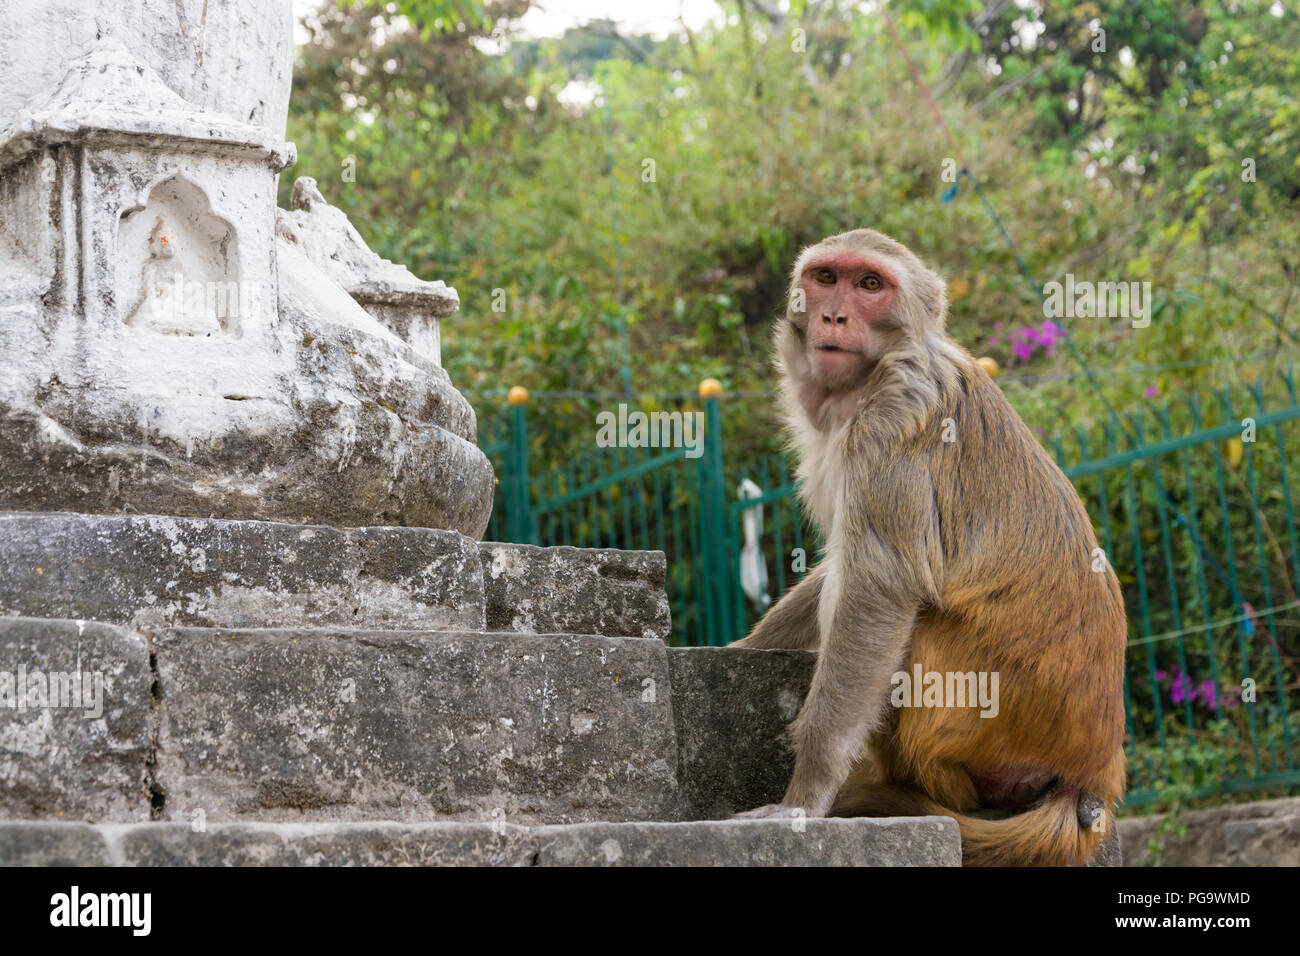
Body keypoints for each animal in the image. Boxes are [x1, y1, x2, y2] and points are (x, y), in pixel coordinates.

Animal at [731, 228, 1126, 867]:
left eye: (870, 284)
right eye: (825, 278)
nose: (834, 315)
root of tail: (1094, 775)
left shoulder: (892, 426)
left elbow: (877, 586)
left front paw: (805, 798)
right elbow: (842, 565)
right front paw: (746, 645)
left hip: (984, 708)